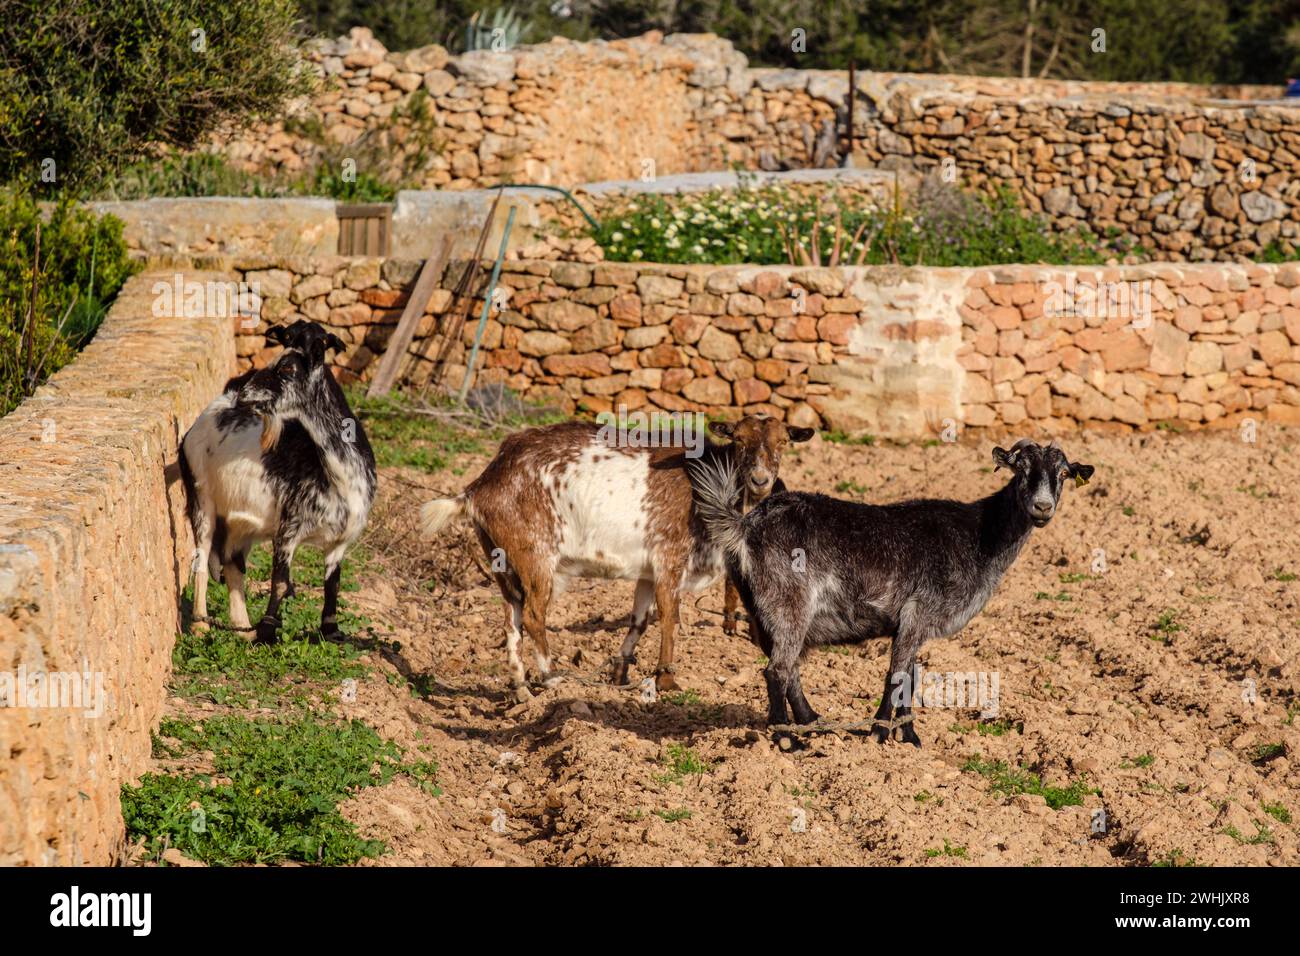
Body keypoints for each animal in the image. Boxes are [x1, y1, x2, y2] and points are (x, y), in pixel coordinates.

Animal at [179, 321, 376, 644]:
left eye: (287, 368)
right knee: (203, 556)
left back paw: (243, 627)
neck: (341, 481)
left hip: (242, 522)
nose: (245, 394)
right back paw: (200, 625)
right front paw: (268, 632)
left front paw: (331, 631)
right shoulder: (288, 529)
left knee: (233, 563)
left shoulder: (341, 540)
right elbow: (281, 582)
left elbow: (333, 582)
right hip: (201, 497)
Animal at [420, 415, 812, 699]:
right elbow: (670, 617)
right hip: (536, 555)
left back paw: (520, 689)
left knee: (511, 617)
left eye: (783, 441)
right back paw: (551, 678)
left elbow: (640, 619)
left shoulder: (647, 571)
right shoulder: (670, 556)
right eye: (739, 439)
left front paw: (620, 672)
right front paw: (666, 680)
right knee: (532, 615)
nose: (760, 479)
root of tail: (480, 488)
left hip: (501, 559)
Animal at [690, 438, 1094, 746]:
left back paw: (812, 722)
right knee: (777, 671)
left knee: (790, 671)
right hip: (788, 603)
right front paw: (885, 734)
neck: (980, 535)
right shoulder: (917, 615)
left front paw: (903, 735)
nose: (1042, 507)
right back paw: (789, 740)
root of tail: (744, 526)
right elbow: (898, 677)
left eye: (1062, 474)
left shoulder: (913, 626)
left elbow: (910, 679)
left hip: (767, 613)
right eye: (1021, 470)